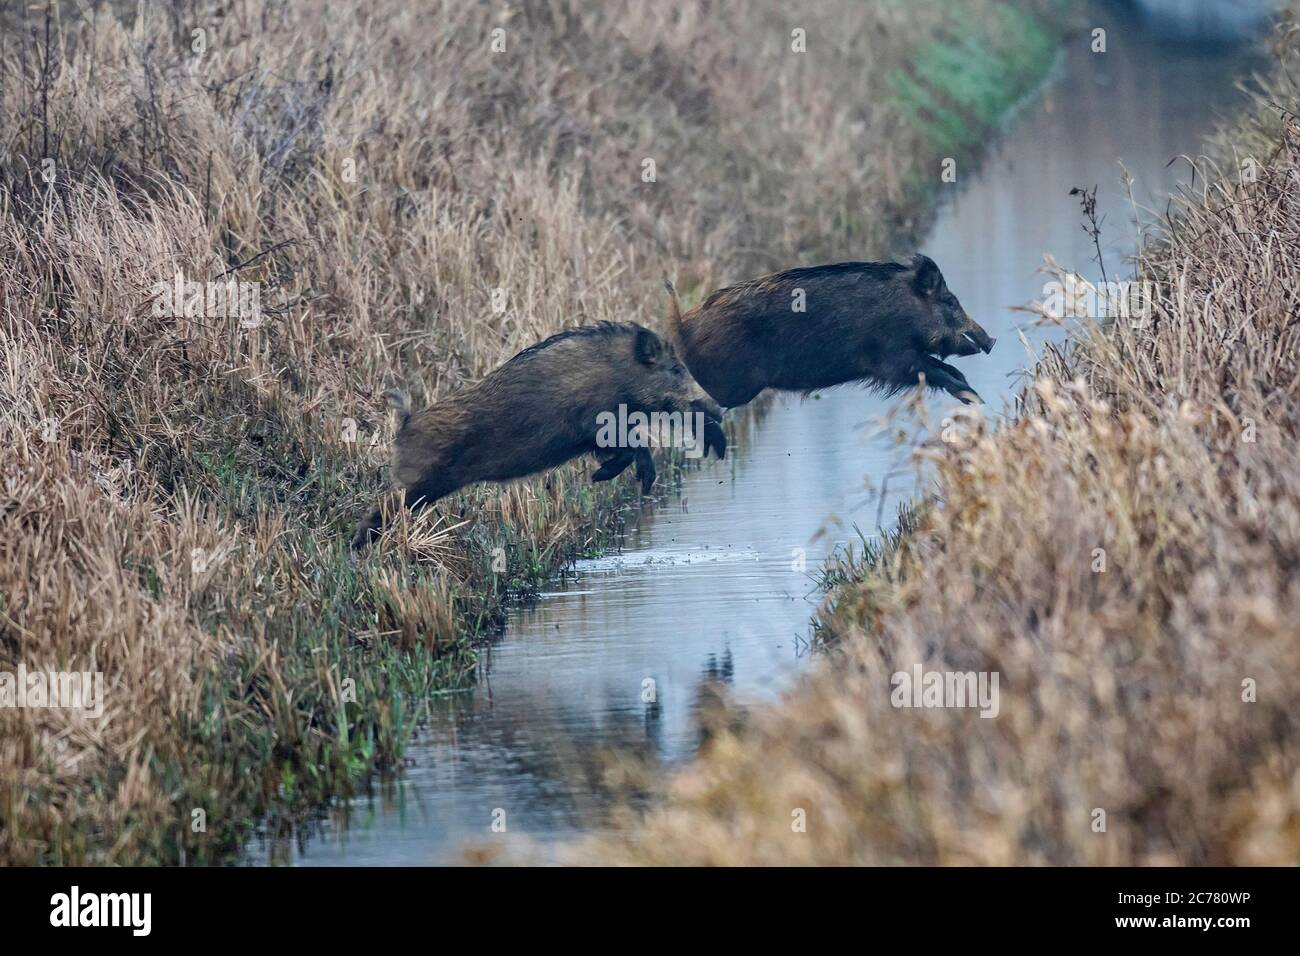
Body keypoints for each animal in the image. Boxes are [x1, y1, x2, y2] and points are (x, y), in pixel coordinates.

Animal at [352, 322, 725, 550]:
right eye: (675, 369)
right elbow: (635, 446)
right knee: (381, 508)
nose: (719, 409)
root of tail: (405, 422)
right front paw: (631, 479)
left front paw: (602, 476)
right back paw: (356, 546)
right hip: (418, 484)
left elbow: (625, 451)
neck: (620, 375)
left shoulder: (594, 439)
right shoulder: (595, 425)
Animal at [665, 254, 995, 408]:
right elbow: (937, 371)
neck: (902, 307)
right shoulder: (891, 359)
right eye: (949, 301)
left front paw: (976, 400)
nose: (991, 340)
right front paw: (977, 400)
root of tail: (681, 326)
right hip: (730, 387)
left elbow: (948, 370)